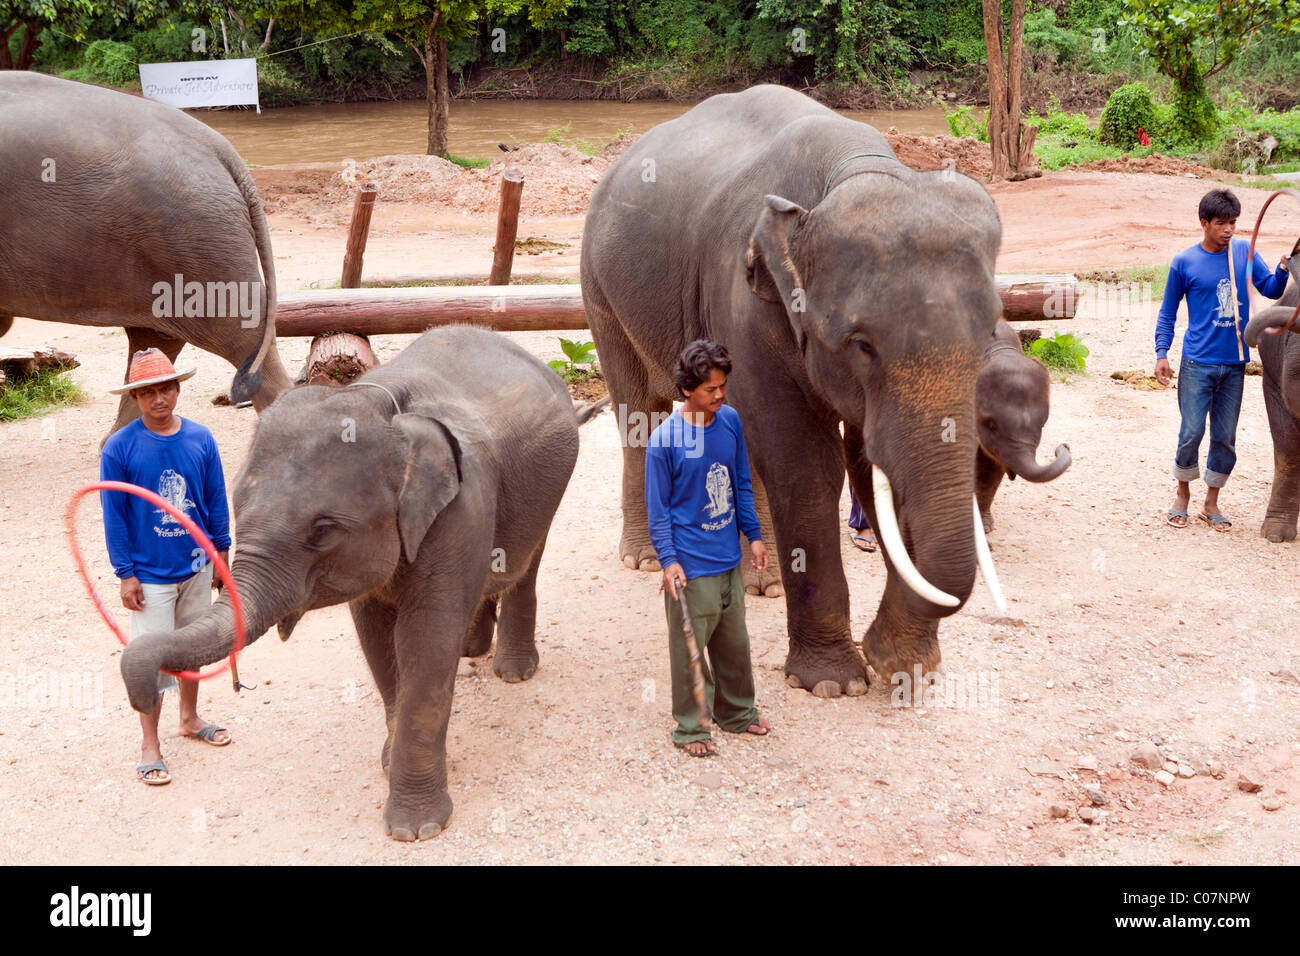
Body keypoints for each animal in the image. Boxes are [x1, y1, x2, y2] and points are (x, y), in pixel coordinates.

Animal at [121, 326, 608, 841]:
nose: (145, 694)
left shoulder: (462, 508)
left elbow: (425, 640)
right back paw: (471, 649)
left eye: (322, 530)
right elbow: (378, 638)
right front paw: (388, 765)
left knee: (527, 563)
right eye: (235, 503)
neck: (381, 404)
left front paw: (416, 829)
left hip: (552, 485)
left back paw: (513, 672)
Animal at [580, 85, 1005, 697]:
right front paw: (834, 683)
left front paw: (902, 667)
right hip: (599, 289)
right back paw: (642, 558)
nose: (883, 656)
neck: (850, 170)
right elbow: (805, 463)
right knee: (638, 413)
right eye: (861, 344)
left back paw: (763, 581)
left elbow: (844, 461)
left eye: (990, 328)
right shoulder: (746, 299)